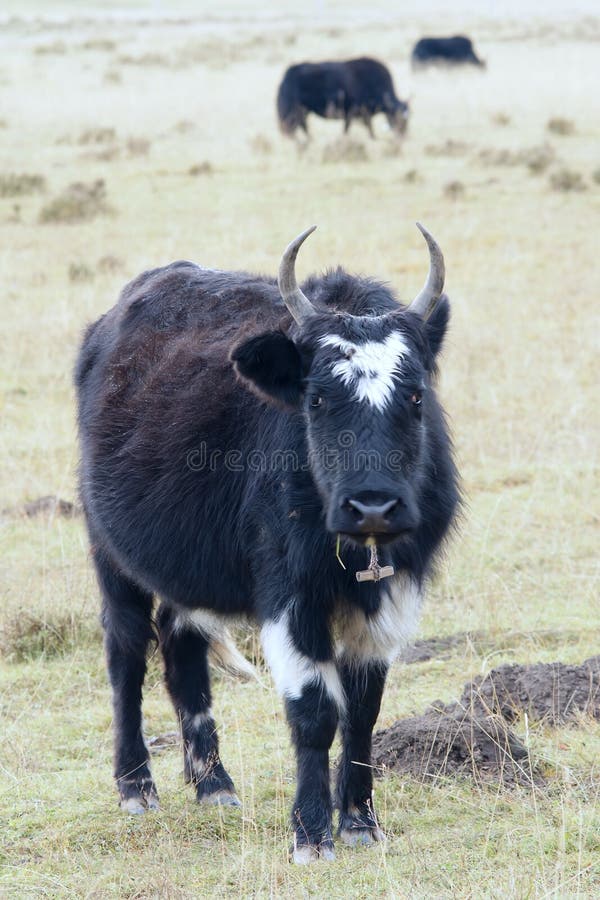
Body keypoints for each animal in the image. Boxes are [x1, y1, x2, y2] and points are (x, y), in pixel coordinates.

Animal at [75, 223, 460, 864]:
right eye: (317, 398)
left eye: (414, 397)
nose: (373, 506)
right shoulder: (290, 596)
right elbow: (315, 710)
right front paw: (311, 833)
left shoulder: (390, 599)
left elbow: (364, 710)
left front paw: (360, 822)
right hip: (113, 558)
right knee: (126, 654)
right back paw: (136, 787)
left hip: (186, 575)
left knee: (182, 649)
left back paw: (213, 783)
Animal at [276, 57, 409, 140]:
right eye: (400, 118)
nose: (403, 135)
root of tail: (289, 73)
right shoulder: (354, 111)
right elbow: (361, 127)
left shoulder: (353, 114)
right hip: (295, 111)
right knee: (297, 125)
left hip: (304, 111)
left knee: (301, 125)